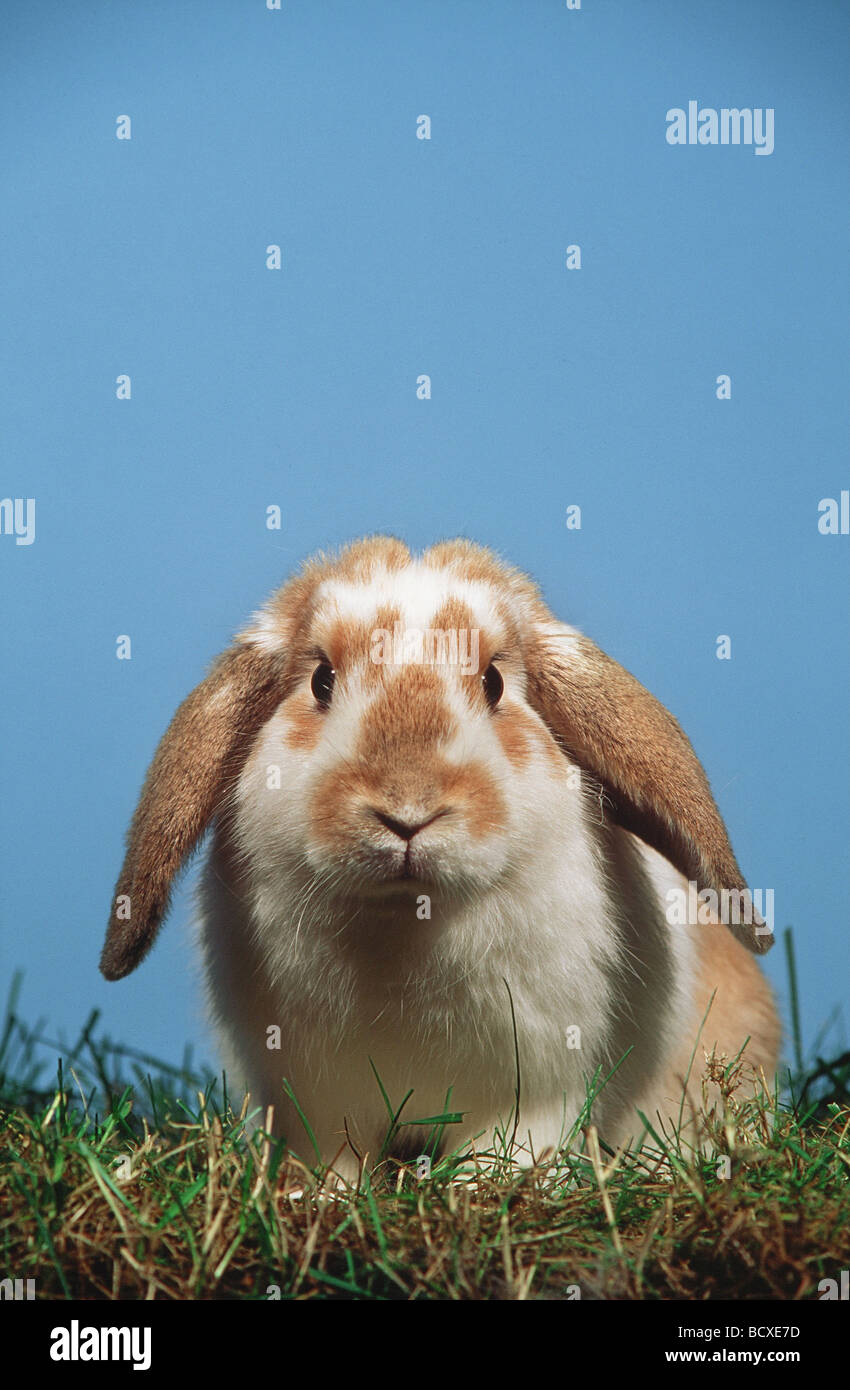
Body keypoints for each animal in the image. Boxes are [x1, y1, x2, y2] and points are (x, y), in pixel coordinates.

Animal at [101, 536, 780, 1179]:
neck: (407, 917)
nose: (407, 810)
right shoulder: (314, 1101)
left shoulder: (535, 1090)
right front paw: (320, 1195)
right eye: (321, 681)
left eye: (494, 683)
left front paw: (482, 1190)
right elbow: (333, 1153)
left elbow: (508, 1146)